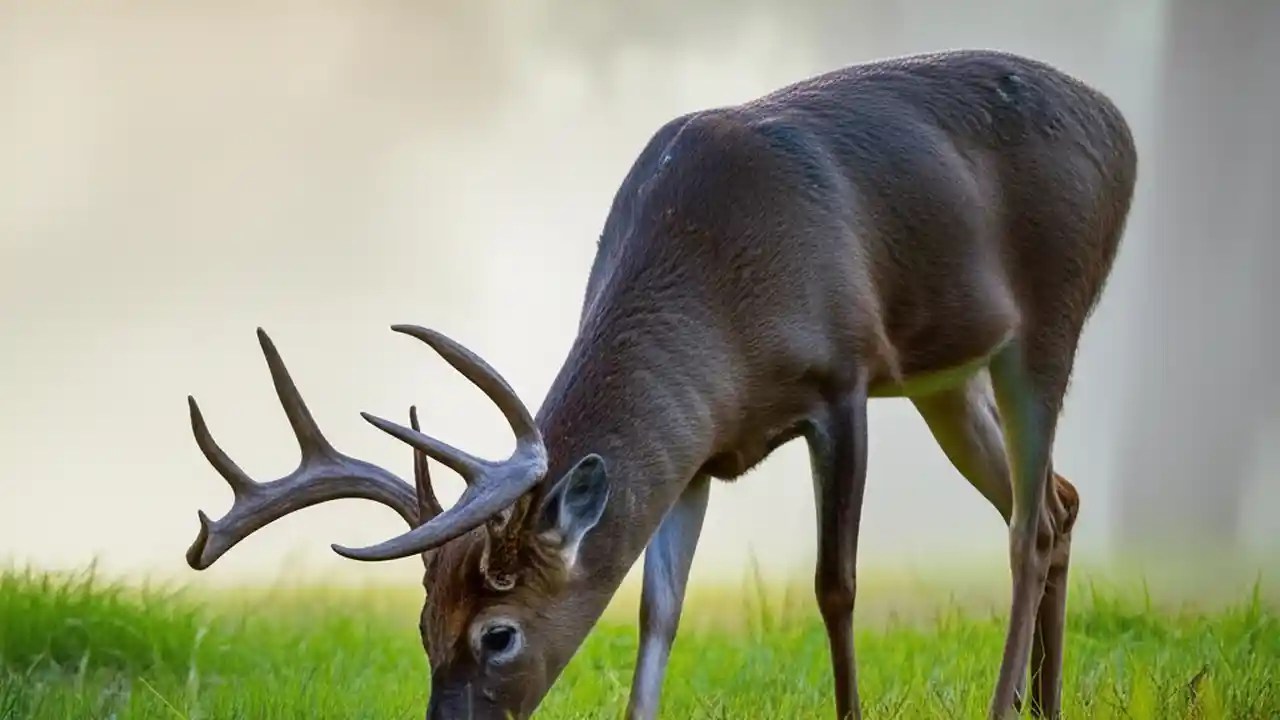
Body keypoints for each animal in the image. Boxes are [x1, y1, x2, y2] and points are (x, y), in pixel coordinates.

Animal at [180, 49, 1136, 719]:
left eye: (498, 634)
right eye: (422, 627)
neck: (721, 299)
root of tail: (1120, 125)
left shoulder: (844, 376)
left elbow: (835, 584)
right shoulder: (700, 449)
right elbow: (657, 611)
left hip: (1048, 321)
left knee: (1025, 527)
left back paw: (1005, 704)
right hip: (949, 380)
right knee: (1060, 500)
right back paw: (1045, 705)